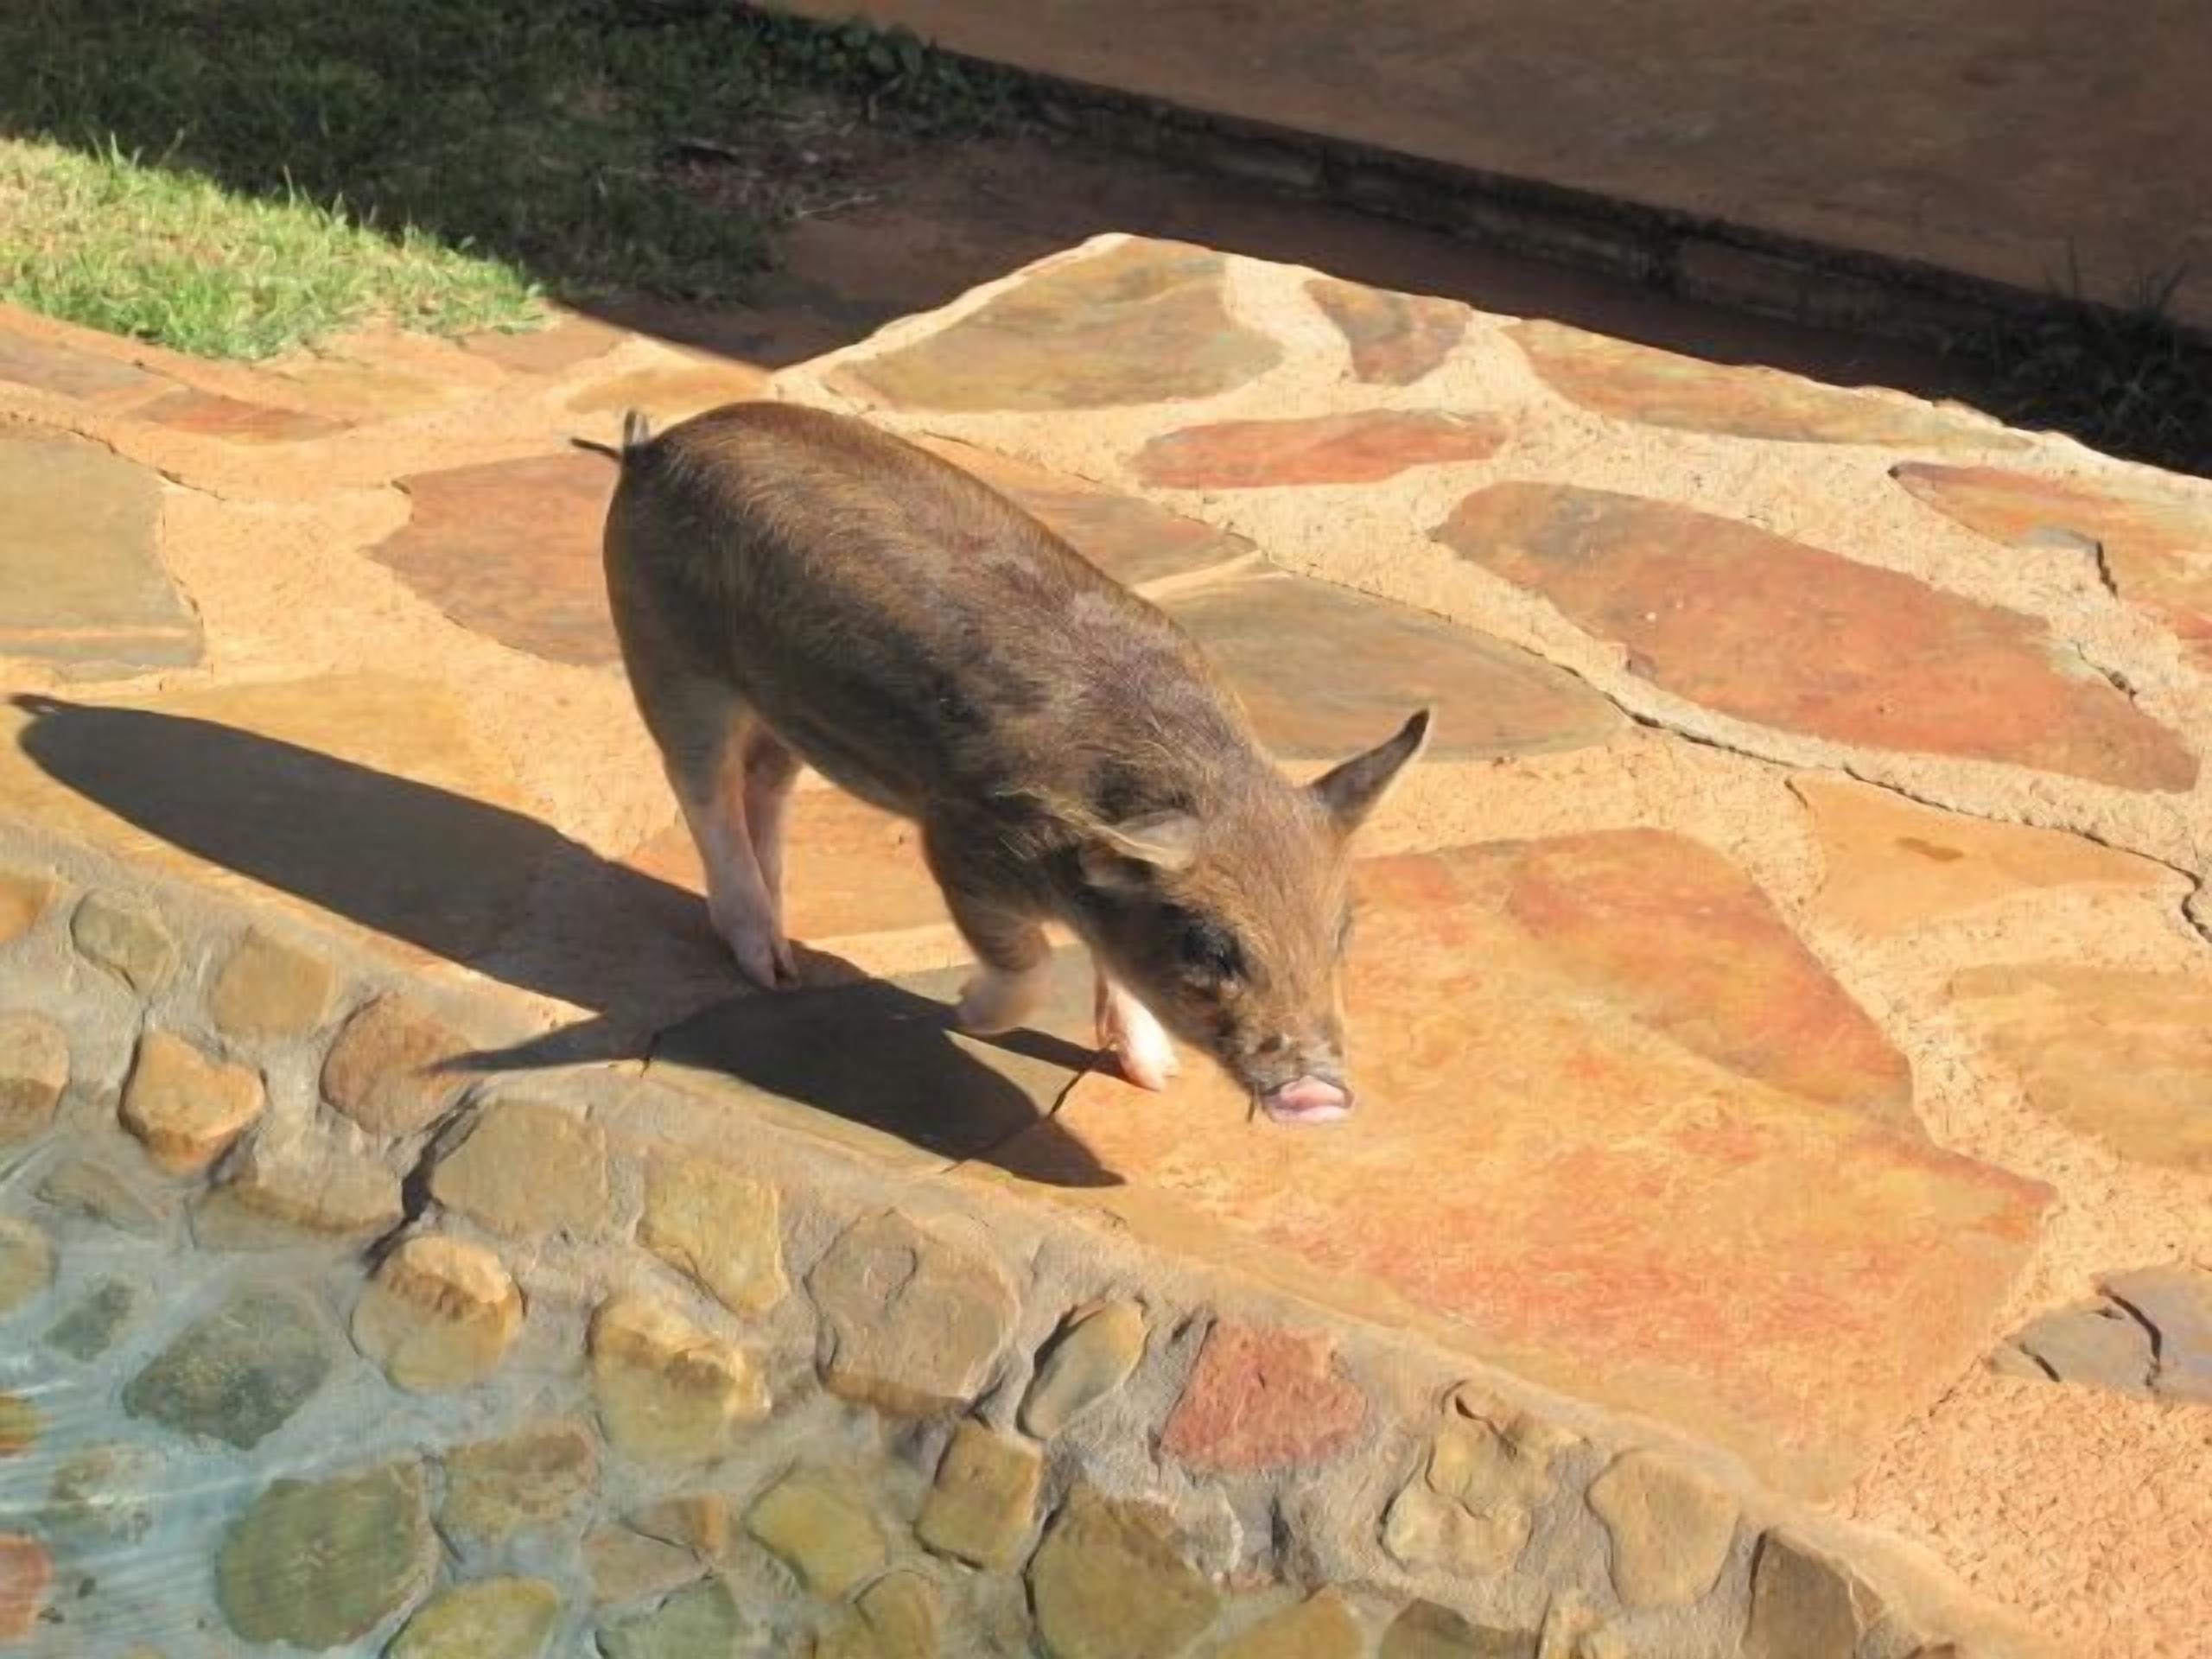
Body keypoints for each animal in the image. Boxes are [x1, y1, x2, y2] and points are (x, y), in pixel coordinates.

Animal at [599, 401, 1429, 1125]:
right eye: (1209, 947)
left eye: (1341, 933)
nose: (1319, 1096)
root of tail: (652, 448)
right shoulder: (964, 839)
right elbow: (1028, 964)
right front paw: (966, 1010)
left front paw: (1155, 1077)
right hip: (668, 655)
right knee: (701, 788)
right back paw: (770, 968)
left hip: (783, 710)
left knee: (763, 784)